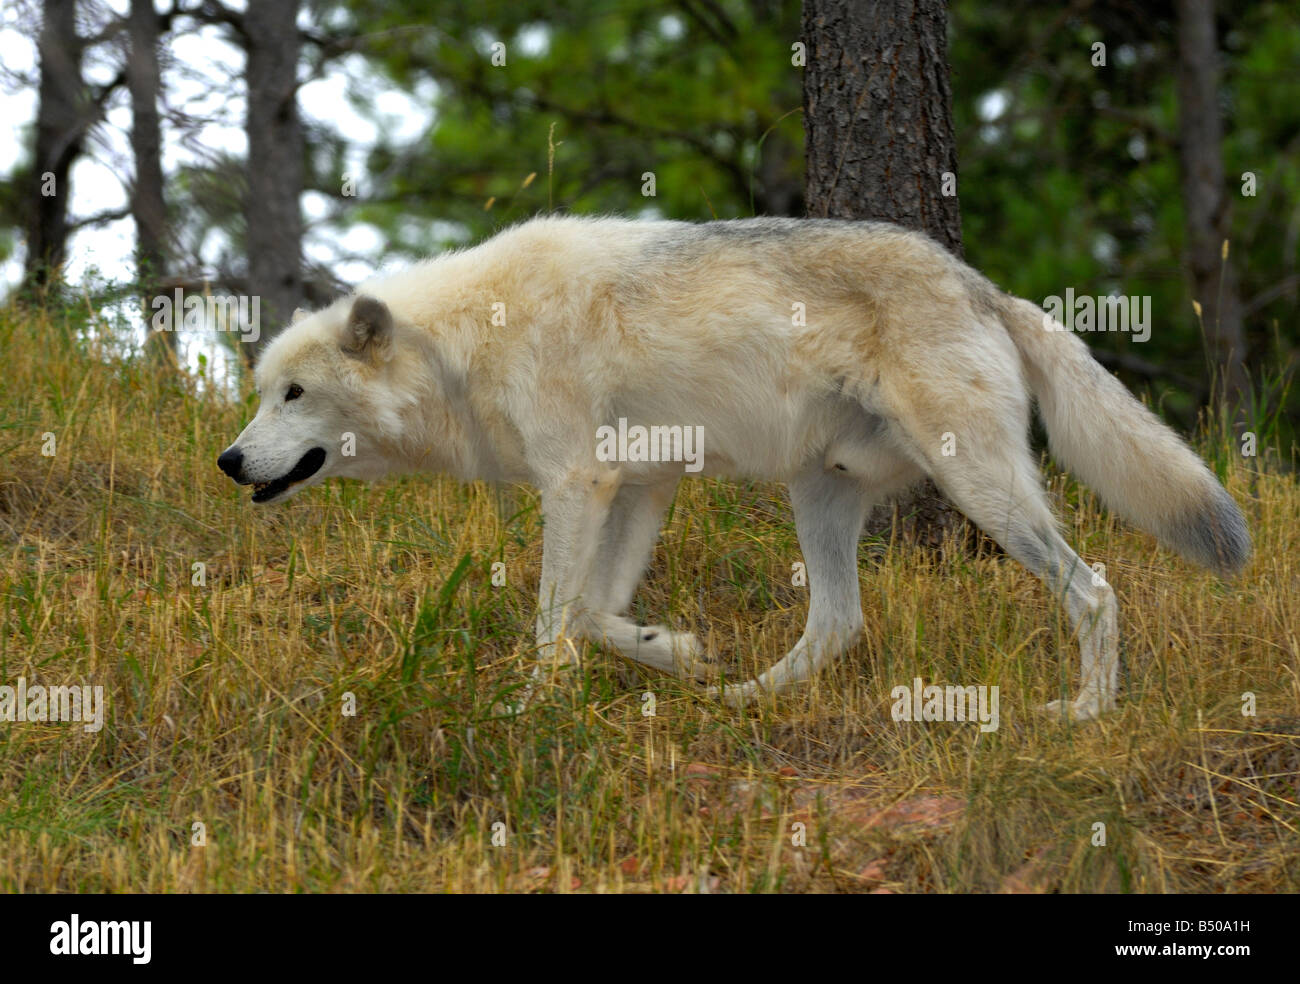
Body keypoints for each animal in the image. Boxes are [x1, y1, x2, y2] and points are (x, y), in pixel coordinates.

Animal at [217, 216, 1250, 720]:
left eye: (295, 396)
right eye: (264, 393)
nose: (227, 460)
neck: (460, 346)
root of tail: (983, 286)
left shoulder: (580, 485)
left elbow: (556, 619)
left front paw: (531, 709)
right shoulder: (641, 481)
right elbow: (592, 613)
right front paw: (674, 650)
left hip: (981, 488)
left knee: (1094, 590)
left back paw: (1086, 713)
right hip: (819, 491)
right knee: (839, 622)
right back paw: (741, 699)